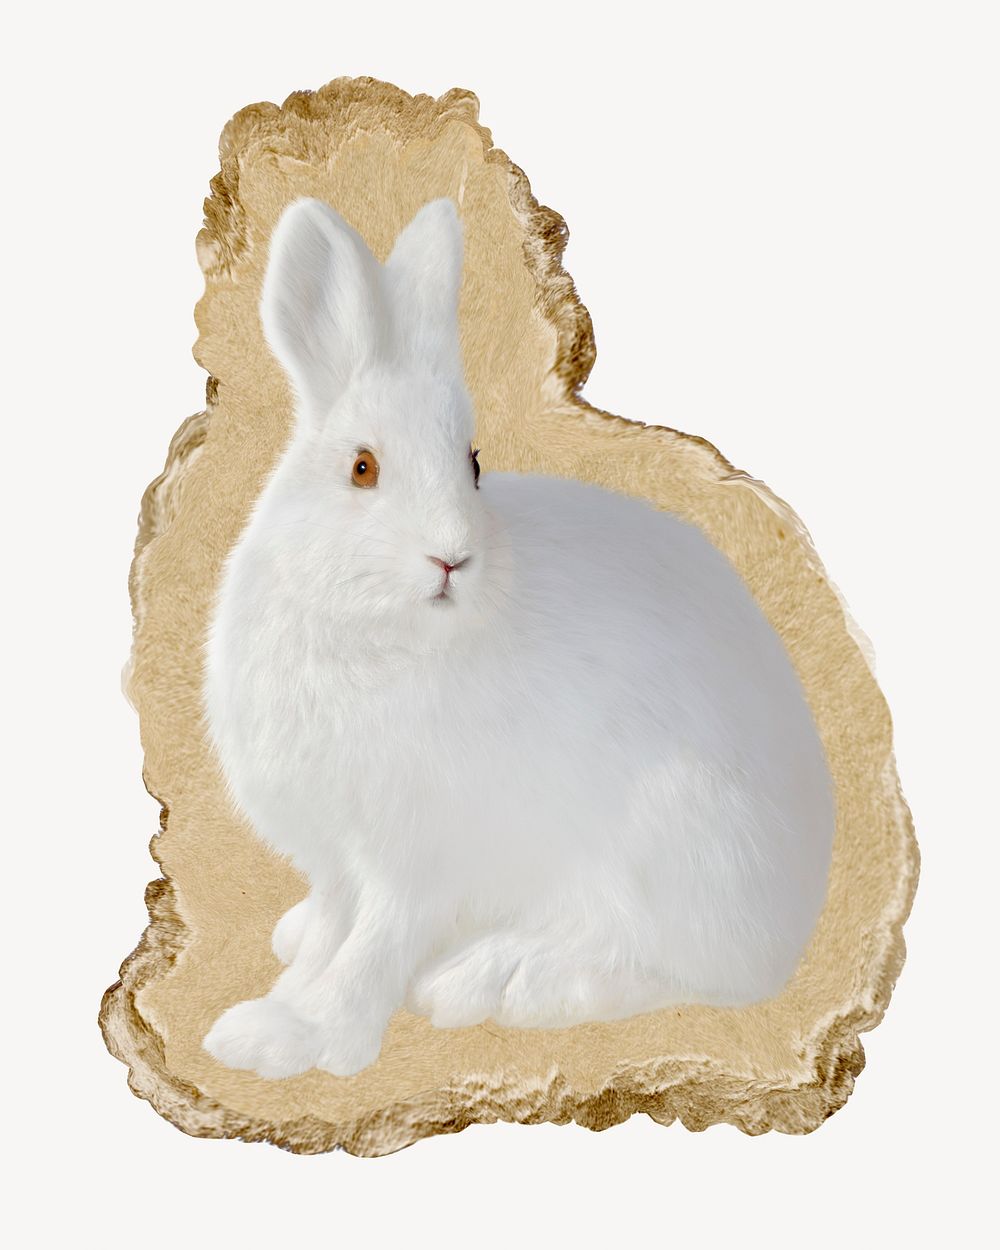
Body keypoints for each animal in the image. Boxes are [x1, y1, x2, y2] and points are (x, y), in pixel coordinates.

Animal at [201, 195, 835, 1079]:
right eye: (362, 468)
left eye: (472, 465)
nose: (451, 557)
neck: (382, 638)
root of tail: (801, 898)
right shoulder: (338, 856)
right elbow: (333, 928)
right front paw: (284, 1000)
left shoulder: (418, 859)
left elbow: (370, 951)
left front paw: (292, 1034)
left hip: (674, 833)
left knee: (667, 964)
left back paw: (502, 978)